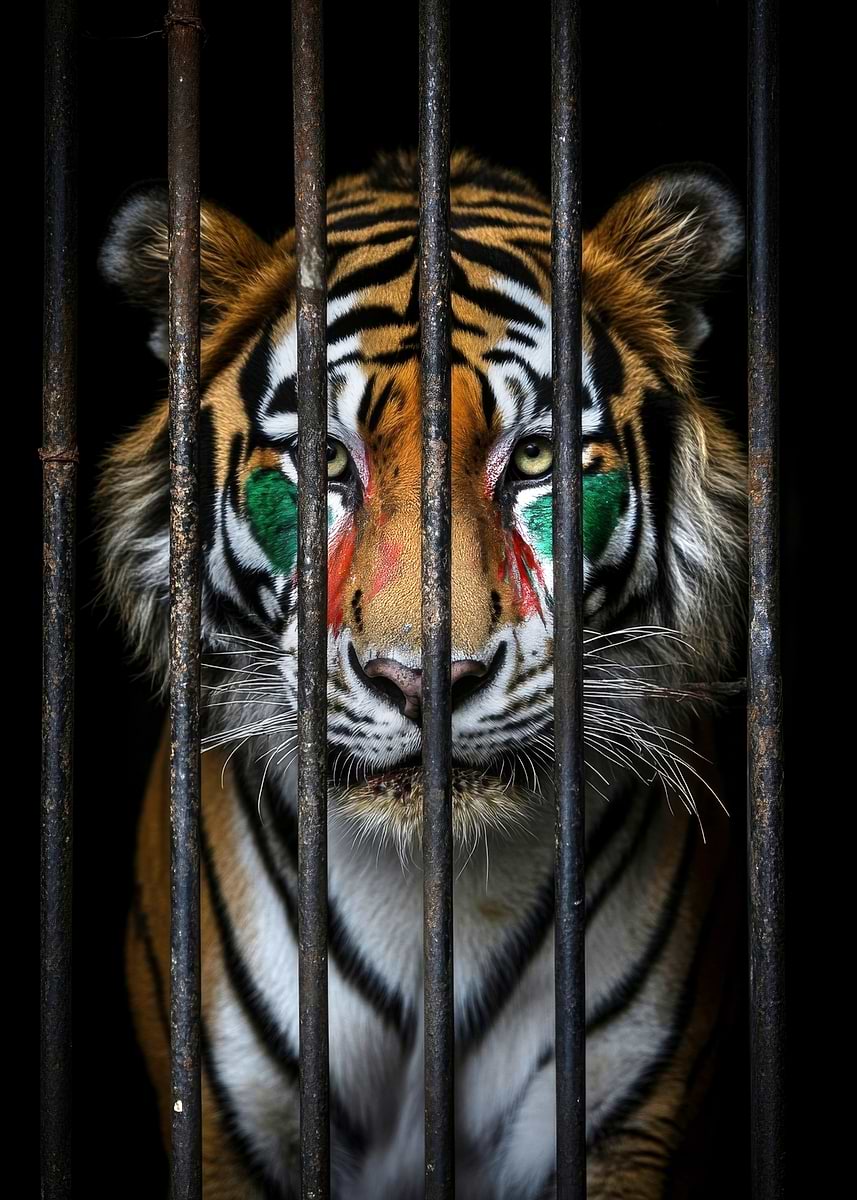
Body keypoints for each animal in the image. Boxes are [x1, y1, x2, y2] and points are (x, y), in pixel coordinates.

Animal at [98, 150, 746, 1199]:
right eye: (324, 458)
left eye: (533, 456)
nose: (424, 683)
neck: (431, 898)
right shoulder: (227, 1125)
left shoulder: (623, 1120)